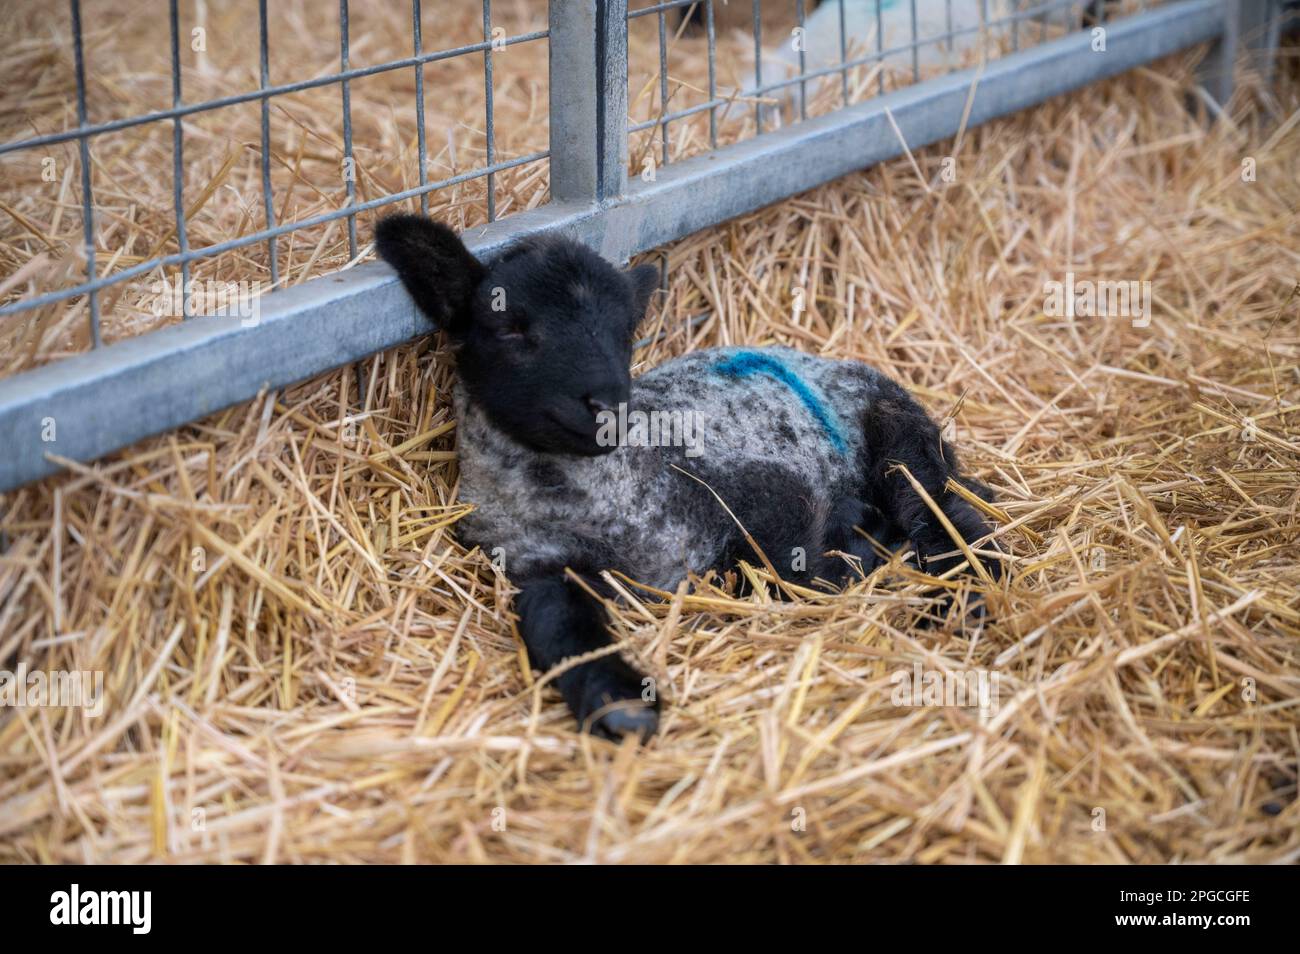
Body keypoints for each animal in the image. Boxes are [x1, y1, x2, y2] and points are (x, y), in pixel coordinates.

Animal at [375, 214, 1001, 740]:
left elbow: (794, 570)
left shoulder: (769, 490)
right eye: (510, 328)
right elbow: (556, 624)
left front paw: (857, 553)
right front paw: (620, 703)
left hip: (894, 429)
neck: (598, 502)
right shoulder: (535, 562)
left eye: (626, 332)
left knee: (943, 508)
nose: (607, 403)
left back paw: (966, 591)